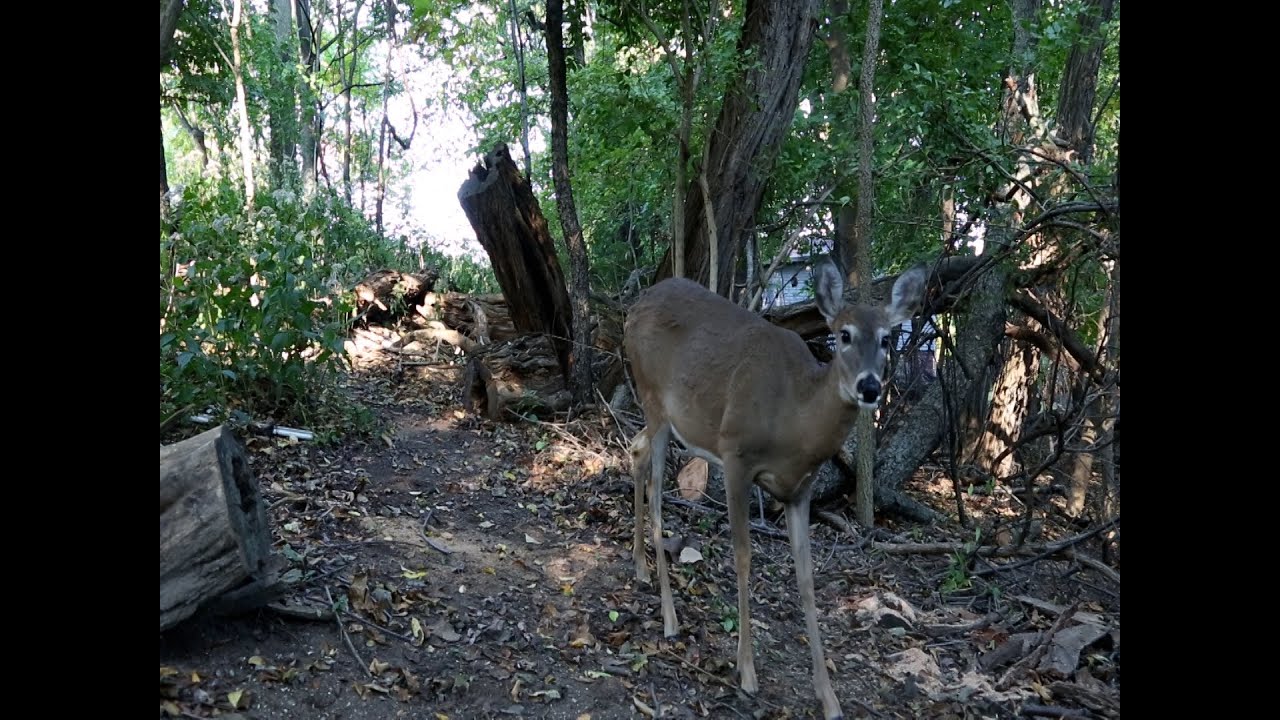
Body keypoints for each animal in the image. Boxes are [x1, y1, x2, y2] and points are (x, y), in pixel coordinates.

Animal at [623, 262, 928, 720]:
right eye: (843, 334)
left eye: (887, 338)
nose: (870, 387)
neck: (792, 419)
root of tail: (634, 307)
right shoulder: (736, 455)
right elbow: (743, 558)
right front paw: (747, 671)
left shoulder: (800, 490)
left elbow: (805, 577)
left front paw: (829, 697)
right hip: (653, 396)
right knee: (658, 493)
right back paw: (670, 617)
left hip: (662, 416)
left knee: (636, 450)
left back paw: (641, 569)